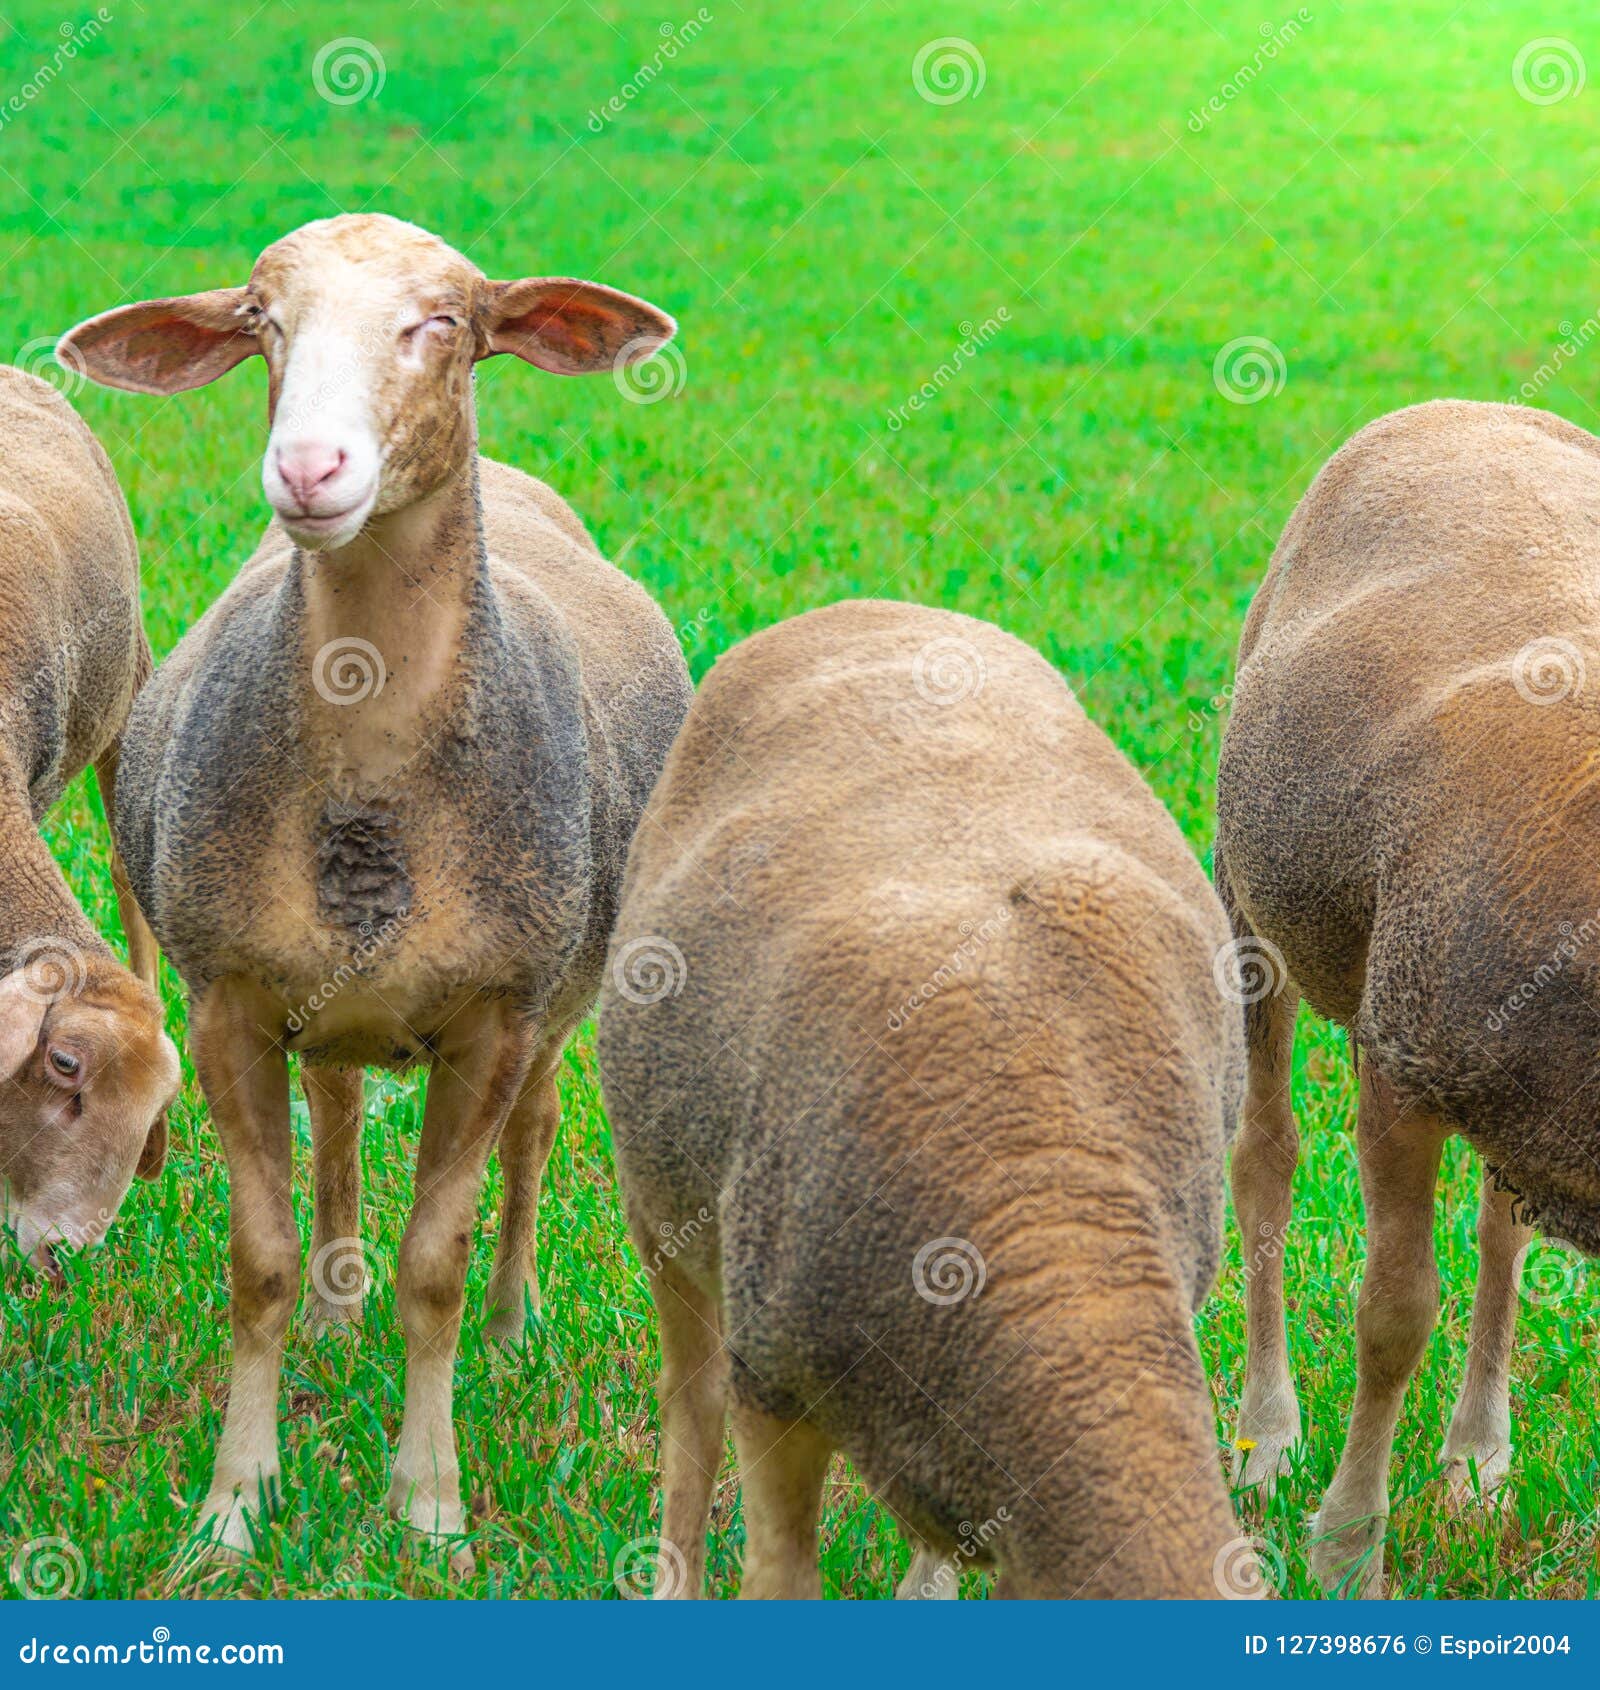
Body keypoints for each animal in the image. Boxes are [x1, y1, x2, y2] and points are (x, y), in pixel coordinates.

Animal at [58, 213, 692, 1569]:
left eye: (443, 322)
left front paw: (430, 1507)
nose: (309, 467)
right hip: (330, 999)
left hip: (563, 991)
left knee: (534, 1132)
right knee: (341, 1114)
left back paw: (512, 1326)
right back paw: (338, 1315)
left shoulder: (497, 1011)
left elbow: (434, 1267)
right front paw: (233, 1506)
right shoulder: (228, 999)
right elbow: (258, 1261)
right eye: (261, 322)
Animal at [1213, 397, 1600, 1594]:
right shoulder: (1400, 1065)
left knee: (1500, 1237)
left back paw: (1476, 1465)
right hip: (1254, 892)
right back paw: (1266, 1442)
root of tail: (1466, 406)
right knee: (1264, 1158)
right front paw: (1346, 1549)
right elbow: (1391, 1314)